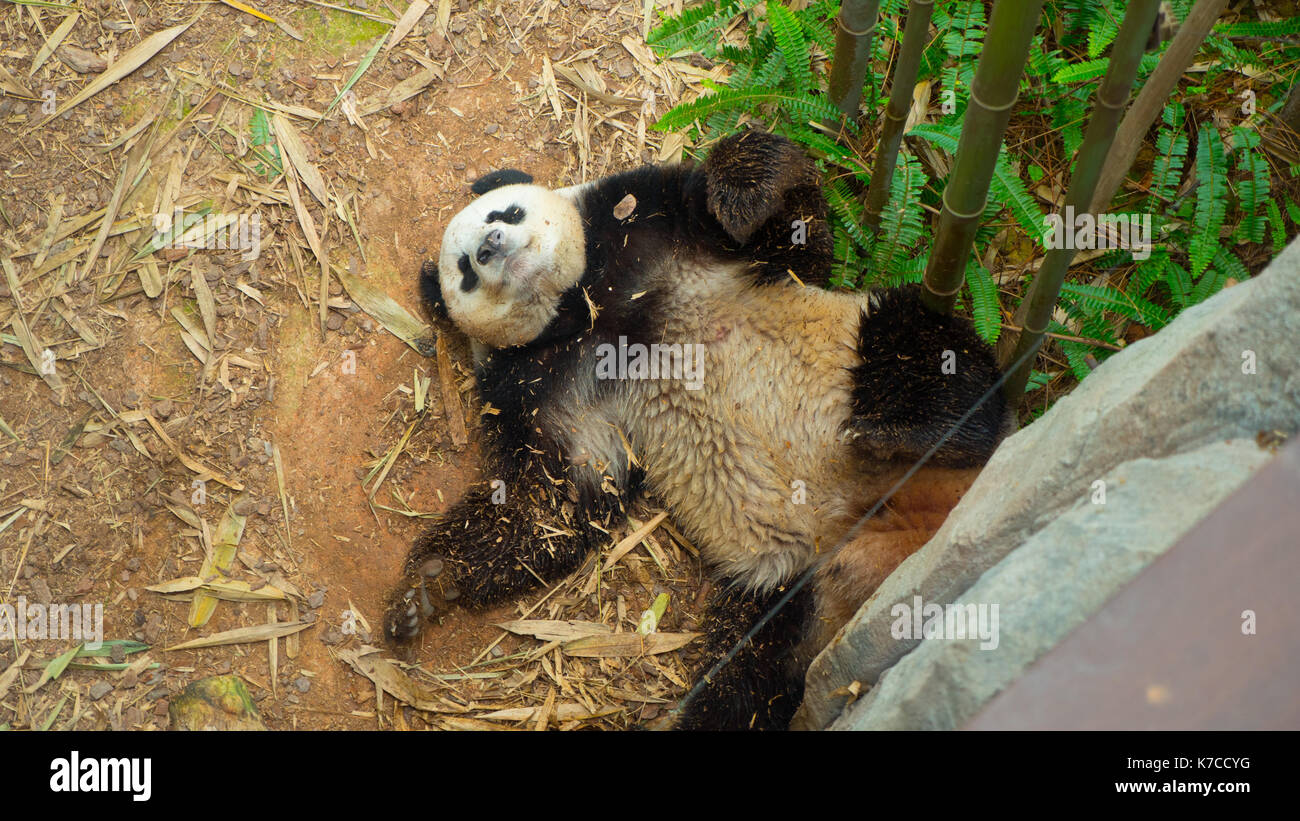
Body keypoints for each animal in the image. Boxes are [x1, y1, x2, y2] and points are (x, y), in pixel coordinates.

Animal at [383, 130, 1011, 730]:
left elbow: (795, 239)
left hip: (864, 354)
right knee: (754, 674)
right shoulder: (540, 386)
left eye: (506, 212)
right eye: (464, 271)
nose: (490, 247)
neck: (590, 308)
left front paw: (742, 189)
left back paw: (896, 422)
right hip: (797, 592)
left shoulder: (650, 225)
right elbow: (557, 498)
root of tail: (898, 524)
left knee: (921, 347)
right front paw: (427, 586)